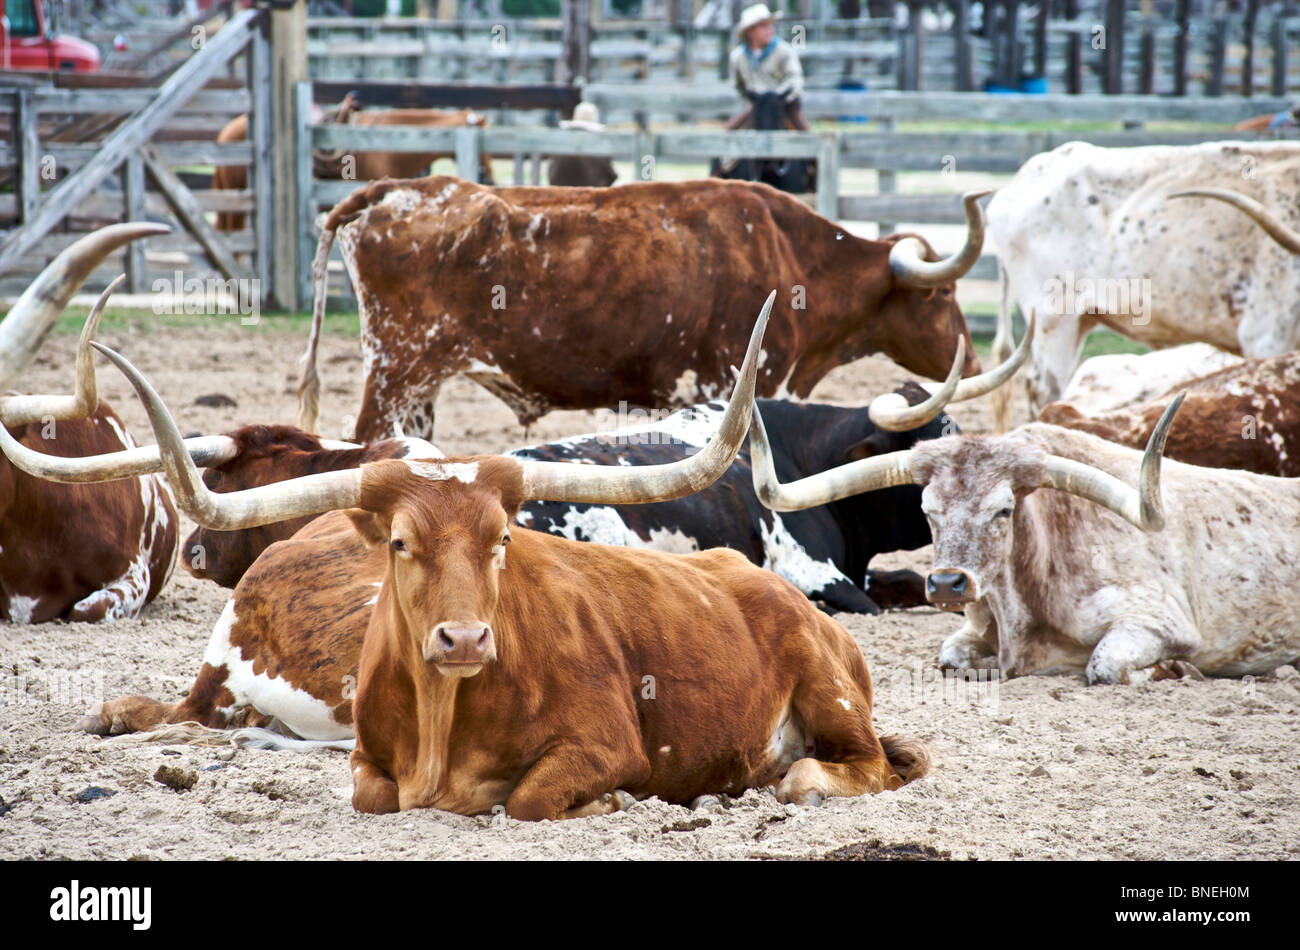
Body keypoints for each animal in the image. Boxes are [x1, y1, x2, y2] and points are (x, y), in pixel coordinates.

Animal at [24, 301, 931, 817]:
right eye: (400, 542)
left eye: (503, 539)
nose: (463, 639)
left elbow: (532, 797)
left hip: (830, 698)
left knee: (848, 766)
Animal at [296, 175, 988, 441]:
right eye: (946, 295)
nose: (976, 363)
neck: (791, 257)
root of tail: (404, 188)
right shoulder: (740, 384)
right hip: (395, 373)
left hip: (420, 390)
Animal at [749, 386, 1300, 684]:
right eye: (928, 510)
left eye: (1004, 509)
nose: (947, 584)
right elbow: (950, 654)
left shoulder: (1161, 621)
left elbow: (1103, 664)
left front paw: (1175, 671)